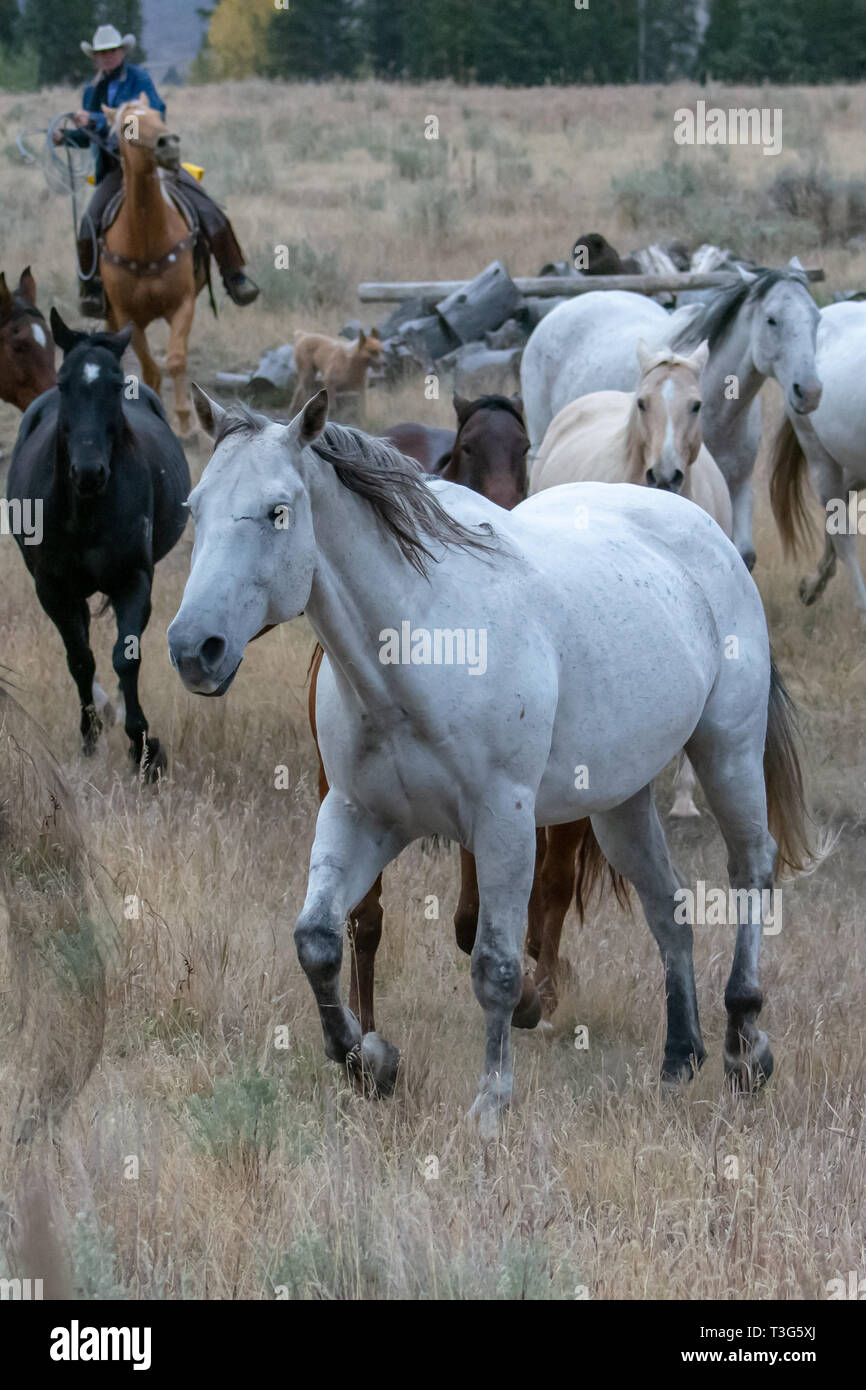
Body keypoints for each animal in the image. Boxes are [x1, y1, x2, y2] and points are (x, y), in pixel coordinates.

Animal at [6, 310, 190, 779]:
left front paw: (143, 748)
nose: (89, 472)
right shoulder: (53, 589)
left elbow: (126, 657)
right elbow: (80, 660)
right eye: (63, 383)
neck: (85, 510)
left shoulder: (133, 580)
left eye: (115, 385)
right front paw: (89, 740)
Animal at [98, 94, 205, 436]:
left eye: (159, 114)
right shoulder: (128, 317)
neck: (145, 239)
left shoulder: (184, 304)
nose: (168, 144)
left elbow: (175, 360)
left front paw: (185, 422)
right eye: (126, 126)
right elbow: (150, 370)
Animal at [168, 386, 808, 1136]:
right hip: (618, 801)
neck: (420, 646)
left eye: (278, 512)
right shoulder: (360, 815)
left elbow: (496, 967)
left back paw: (746, 1045)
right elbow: (318, 940)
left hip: (727, 751)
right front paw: (371, 1063)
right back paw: (681, 1057)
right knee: (667, 906)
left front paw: (490, 1107)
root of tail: (703, 530)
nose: (194, 648)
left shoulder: (504, 823)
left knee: (751, 870)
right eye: (195, 508)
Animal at [520, 260, 822, 571]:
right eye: (772, 320)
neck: (721, 416)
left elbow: (745, 554)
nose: (809, 391)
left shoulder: (739, 484)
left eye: (817, 318)